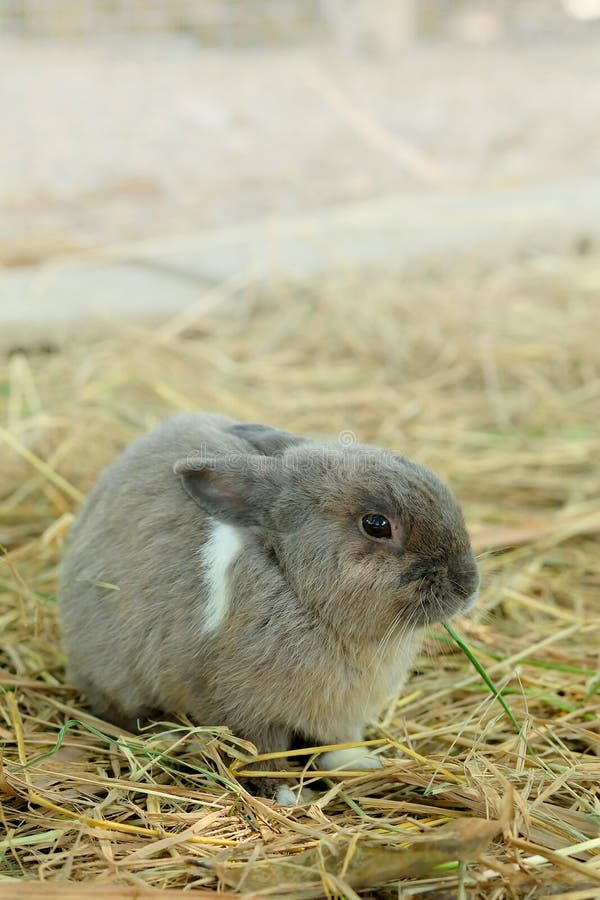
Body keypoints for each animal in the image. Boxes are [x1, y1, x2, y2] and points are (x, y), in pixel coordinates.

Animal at [58, 412, 479, 803]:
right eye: (376, 524)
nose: (467, 585)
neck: (297, 588)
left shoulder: (340, 716)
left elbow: (339, 743)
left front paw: (360, 764)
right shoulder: (246, 711)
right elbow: (264, 756)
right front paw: (286, 795)